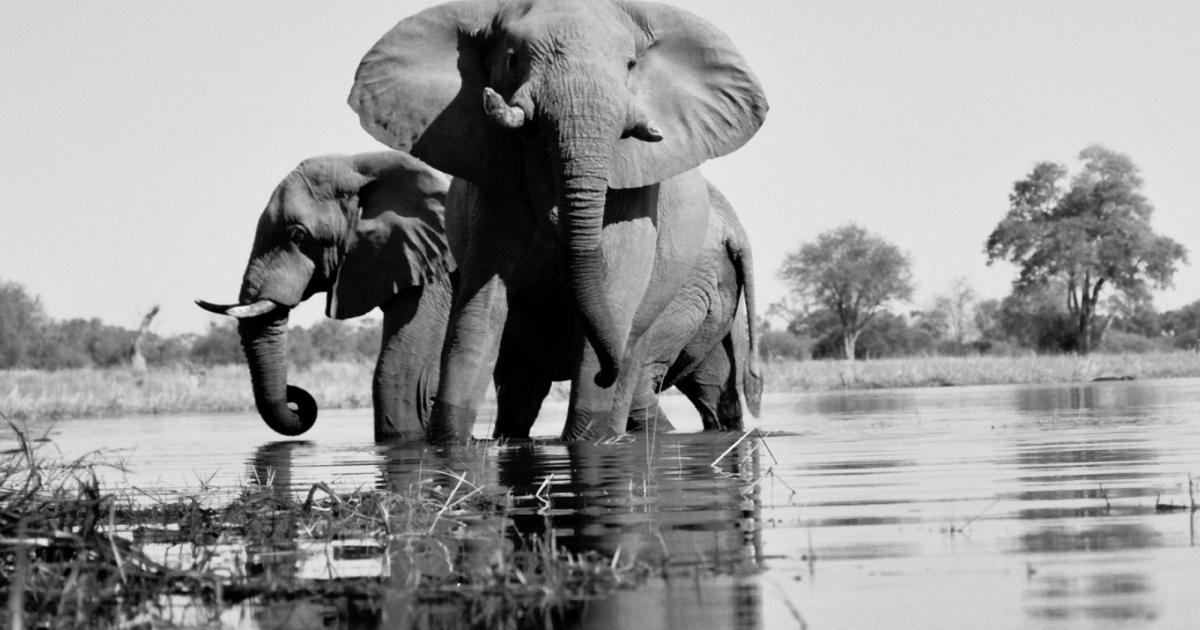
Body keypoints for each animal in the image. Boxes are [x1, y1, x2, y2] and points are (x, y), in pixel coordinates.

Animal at [348, 0, 767, 442]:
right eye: (512, 59)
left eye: (631, 65)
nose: (605, 374)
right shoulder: (493, 187)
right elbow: (480, 315)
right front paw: (451, 447)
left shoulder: (634, 195)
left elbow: (614, 299)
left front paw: (590, 440)